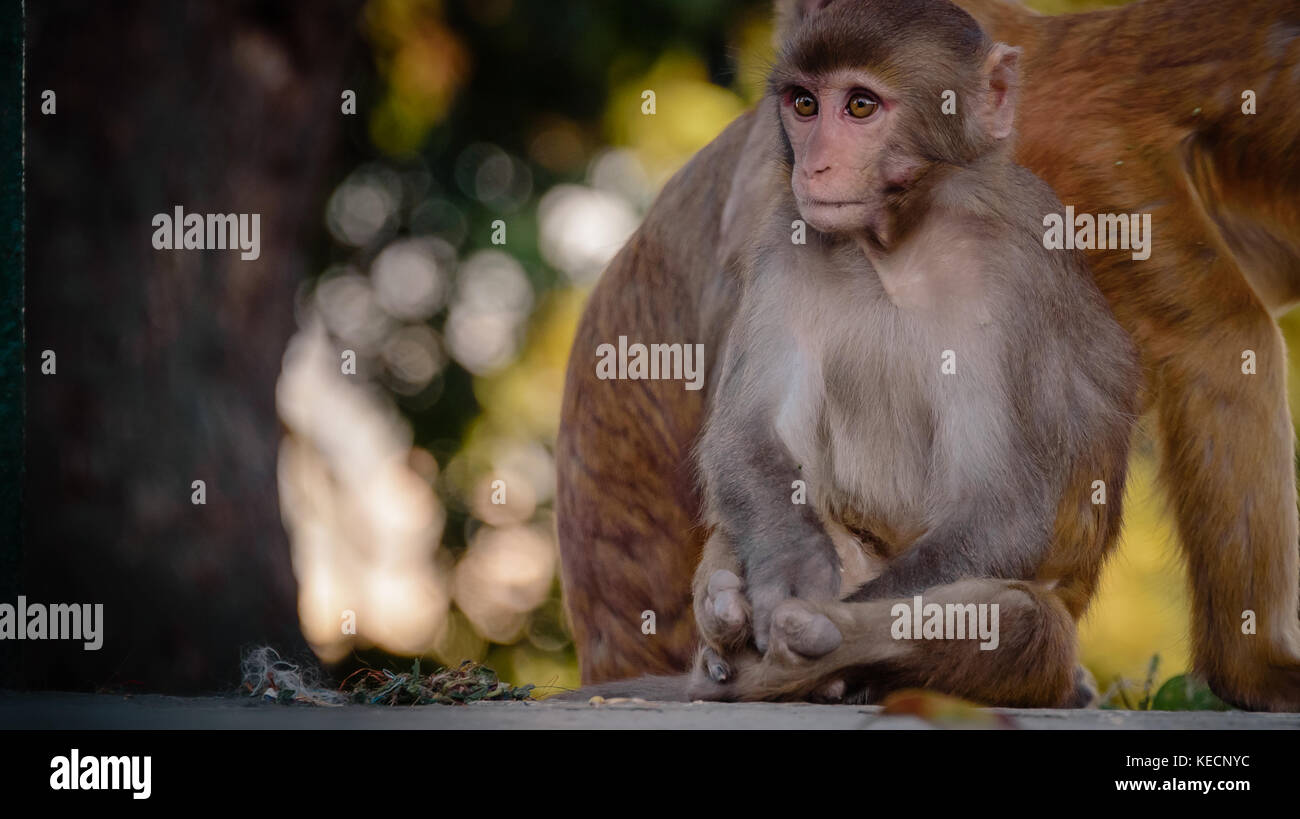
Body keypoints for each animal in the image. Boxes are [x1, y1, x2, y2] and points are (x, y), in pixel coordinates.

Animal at [556, 0, 1300, 710]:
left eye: (861, 106)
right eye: (805, 104)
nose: (814, 164)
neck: (902, 240)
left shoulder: (1020, 267)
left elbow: (1005, 503)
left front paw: (807, 622)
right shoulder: (786, 242)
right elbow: (747, 434)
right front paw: (780, 577)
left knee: (1024, 624)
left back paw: (816, 648)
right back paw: (730, 610)